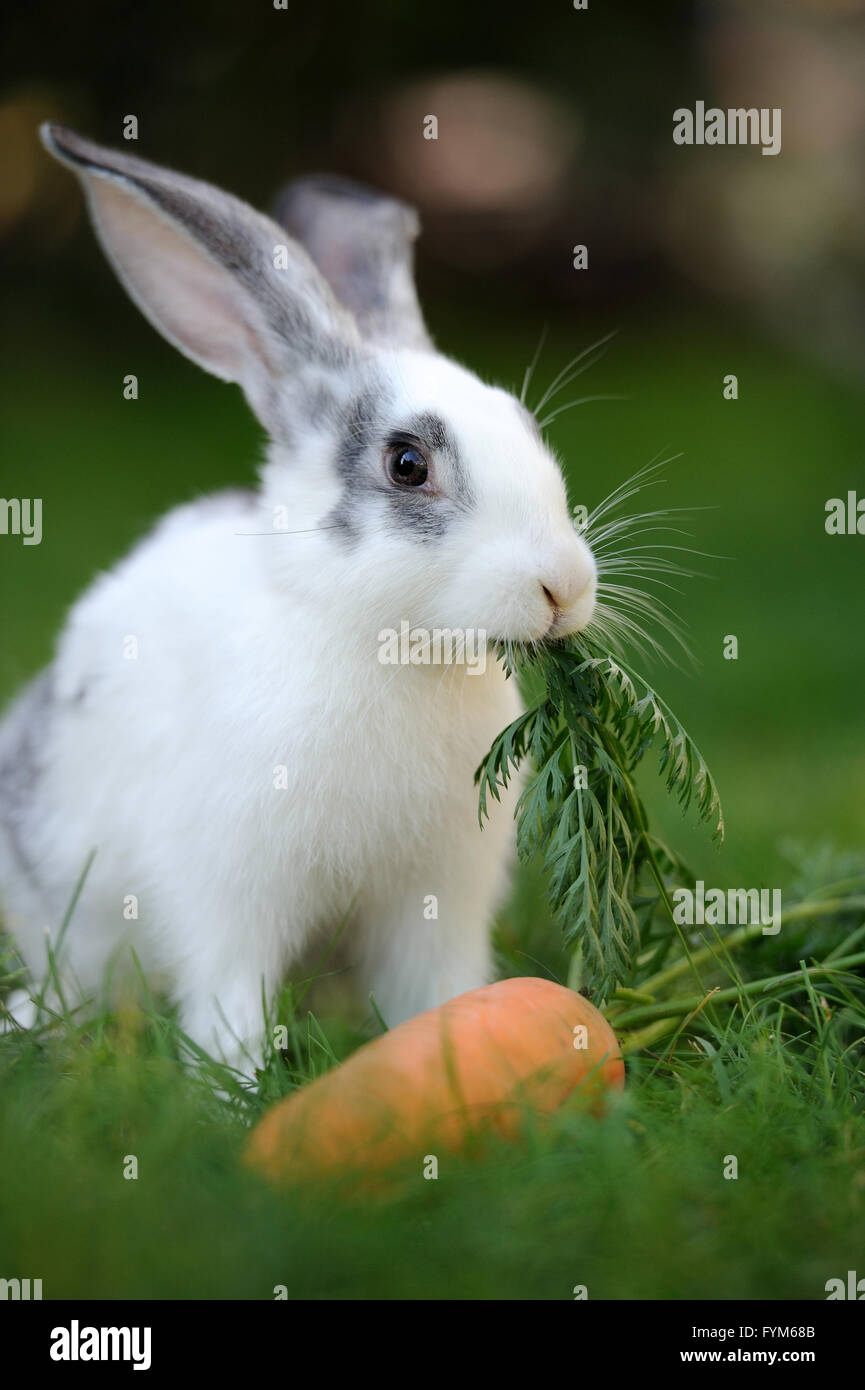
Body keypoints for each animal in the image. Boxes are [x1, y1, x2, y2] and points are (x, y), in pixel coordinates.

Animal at [0, 126, 597, 1074]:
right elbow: (227, 997)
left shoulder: (435, 902)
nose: (563, 587)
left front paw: (452, 1045)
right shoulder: (227, 892)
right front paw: (231, 1090)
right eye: (406, 464)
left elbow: (435, 988)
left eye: (525, 427)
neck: (379, 642)